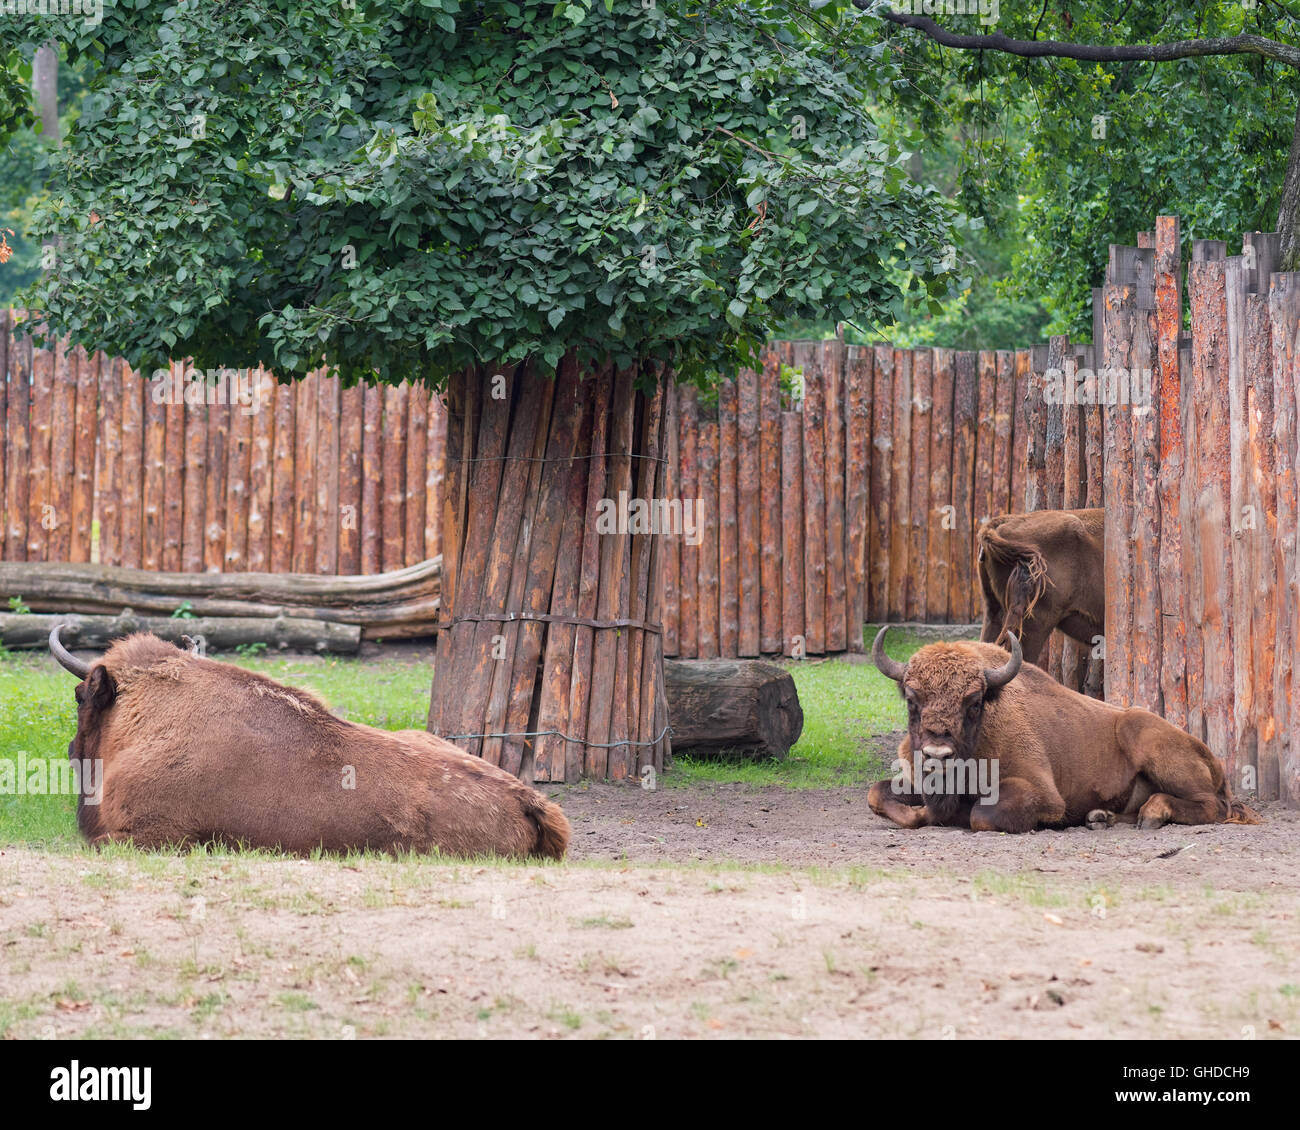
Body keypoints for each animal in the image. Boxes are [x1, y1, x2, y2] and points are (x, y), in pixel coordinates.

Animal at [867, 627, 1257, 832]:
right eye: (912, 701)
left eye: (974, 703)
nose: (937, 755)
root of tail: (1211, 756)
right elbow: (877, 794)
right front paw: (922, 813)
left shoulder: (1044, 795)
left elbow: (982, 814)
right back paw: (1101, 817)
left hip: (1149, 741)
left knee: (1213, 805)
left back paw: (1152, 814)